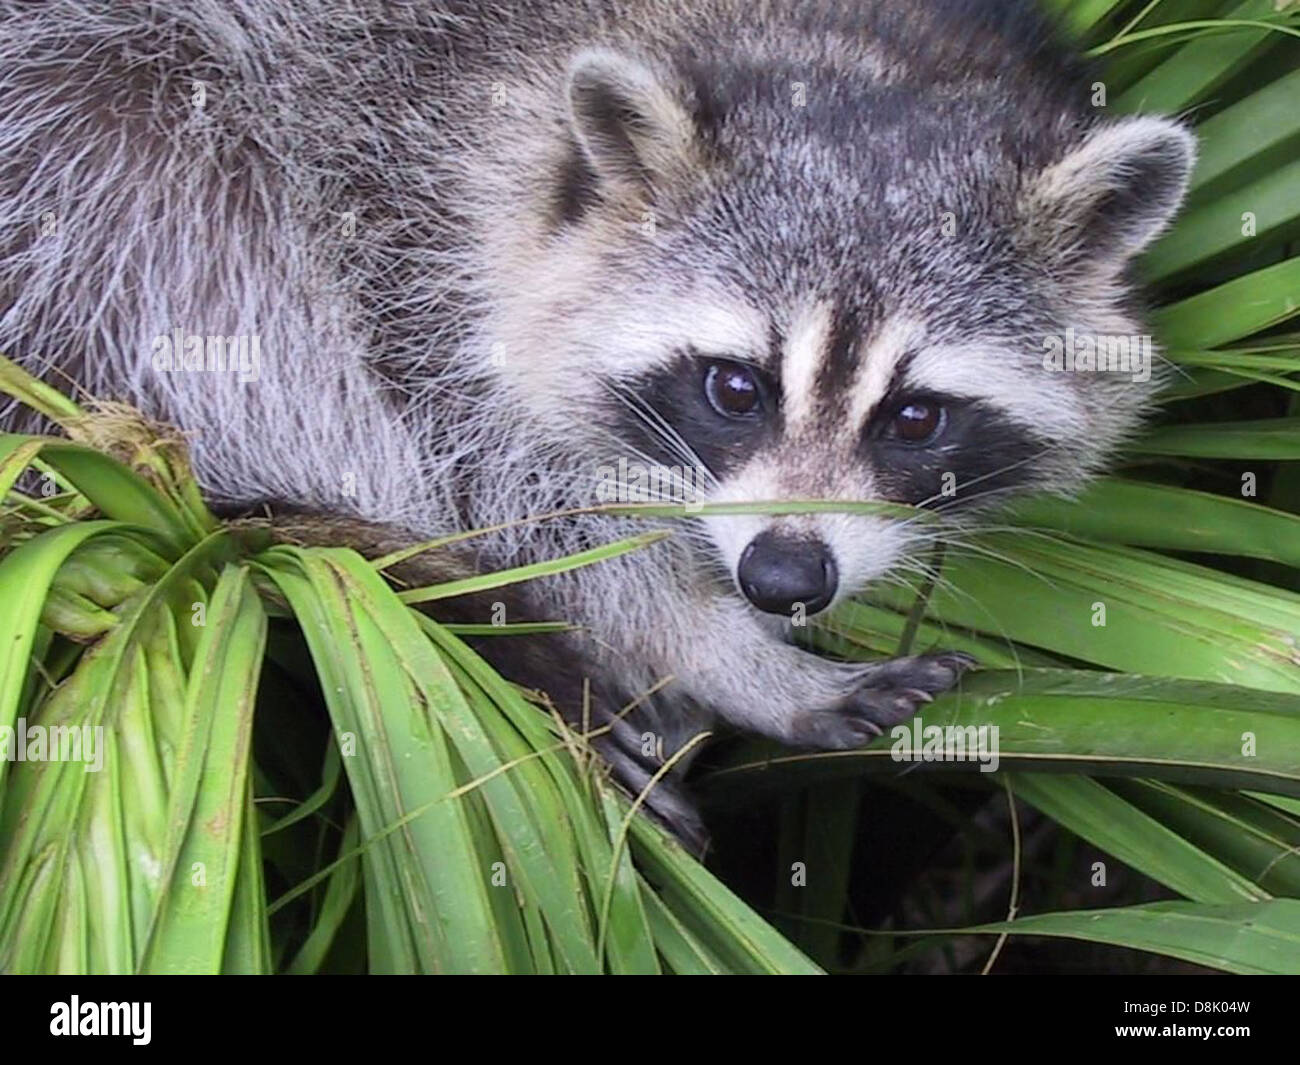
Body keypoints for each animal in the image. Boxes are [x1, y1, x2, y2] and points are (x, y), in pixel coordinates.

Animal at [0, 1, 1194, 849]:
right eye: (734, 388)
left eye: (914, 418)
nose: (783, 579)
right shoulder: (401, 204)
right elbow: (516, 496)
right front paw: (721, 652)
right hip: (88, 139)